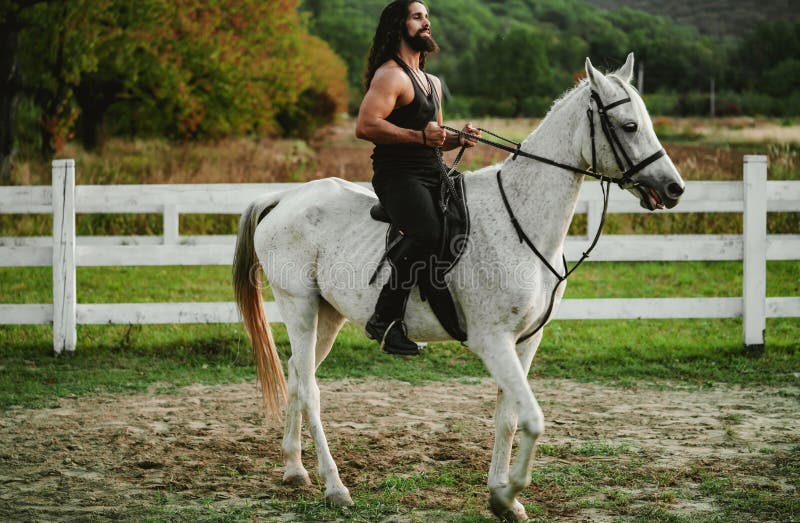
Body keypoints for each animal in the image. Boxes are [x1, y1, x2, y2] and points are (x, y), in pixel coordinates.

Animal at [233, 54, 684, 521]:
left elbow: (509, 418)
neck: (520, 221)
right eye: (629, 126)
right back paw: (334, 486)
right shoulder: (492, 341)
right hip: (299, 307)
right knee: (310, 388)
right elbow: (533, 418)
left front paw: (503, 496)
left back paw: (294, 469)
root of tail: (284, 199)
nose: (674, 188)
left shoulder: (525, 341)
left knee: (295, 375)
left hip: (328, 315)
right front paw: (507, 495)